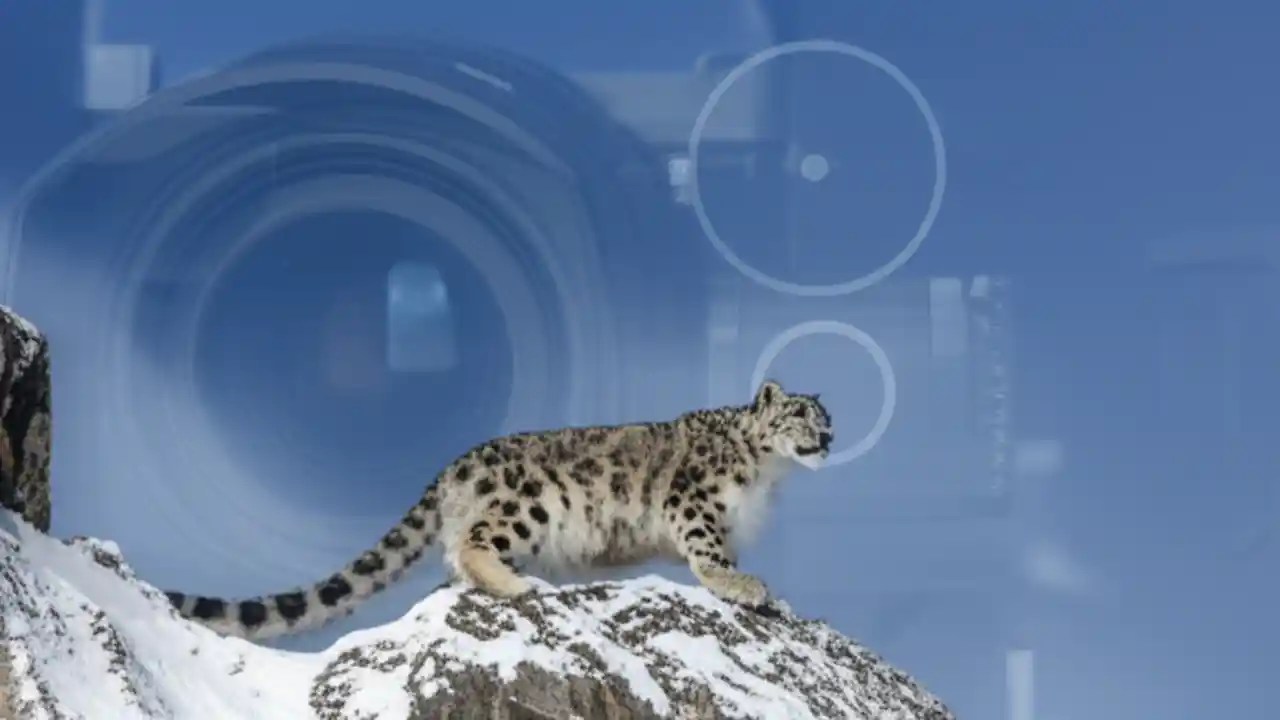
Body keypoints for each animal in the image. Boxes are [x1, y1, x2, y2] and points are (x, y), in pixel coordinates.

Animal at [164, 379, 835, 641]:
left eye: (828, 417)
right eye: (800, 415)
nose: (827, 438)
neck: (768, 473)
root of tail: (451, 469)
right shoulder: (694, 503)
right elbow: (708, 553)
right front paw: (744, 585)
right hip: (528, 505)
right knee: (470, 546)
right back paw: (518, 585)